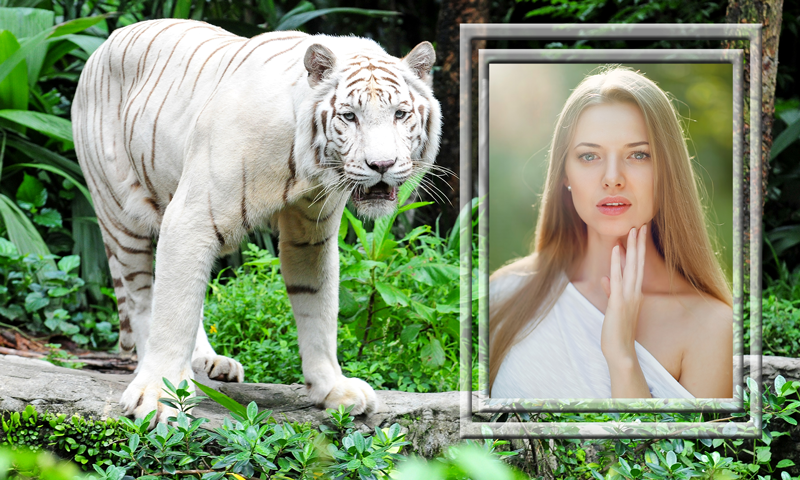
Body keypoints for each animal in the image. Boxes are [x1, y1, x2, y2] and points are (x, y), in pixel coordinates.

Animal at [71, 18, 441, 423]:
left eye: (400, 114)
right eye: (349, 116)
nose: (382, 165)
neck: (304, 168)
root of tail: (106, 41)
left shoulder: (311, 234)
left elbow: (318, 309)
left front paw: (331, 388)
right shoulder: (191, 217)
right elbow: (173, 310)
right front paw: (157, 396)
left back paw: (208, 363)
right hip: (119, 212)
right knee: (142, 295)